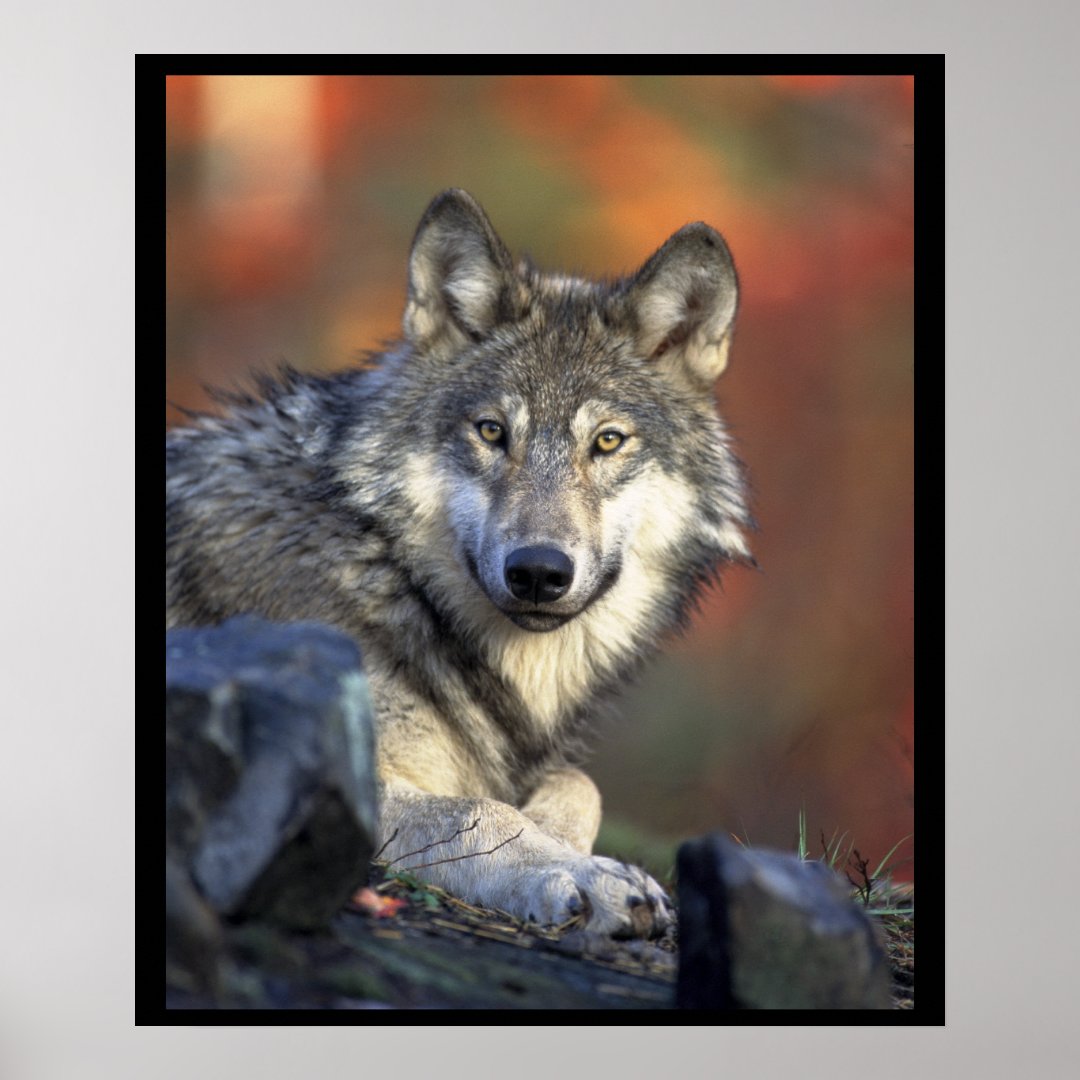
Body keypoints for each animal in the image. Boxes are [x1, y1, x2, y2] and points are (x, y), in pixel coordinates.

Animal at [166, 189, 752, 938]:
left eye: (607, 441)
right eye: (492, 432)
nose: (538, 572)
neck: (388, 574)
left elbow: (578, 784)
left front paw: (566, 843)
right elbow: (480, 810)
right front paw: (584, 875)